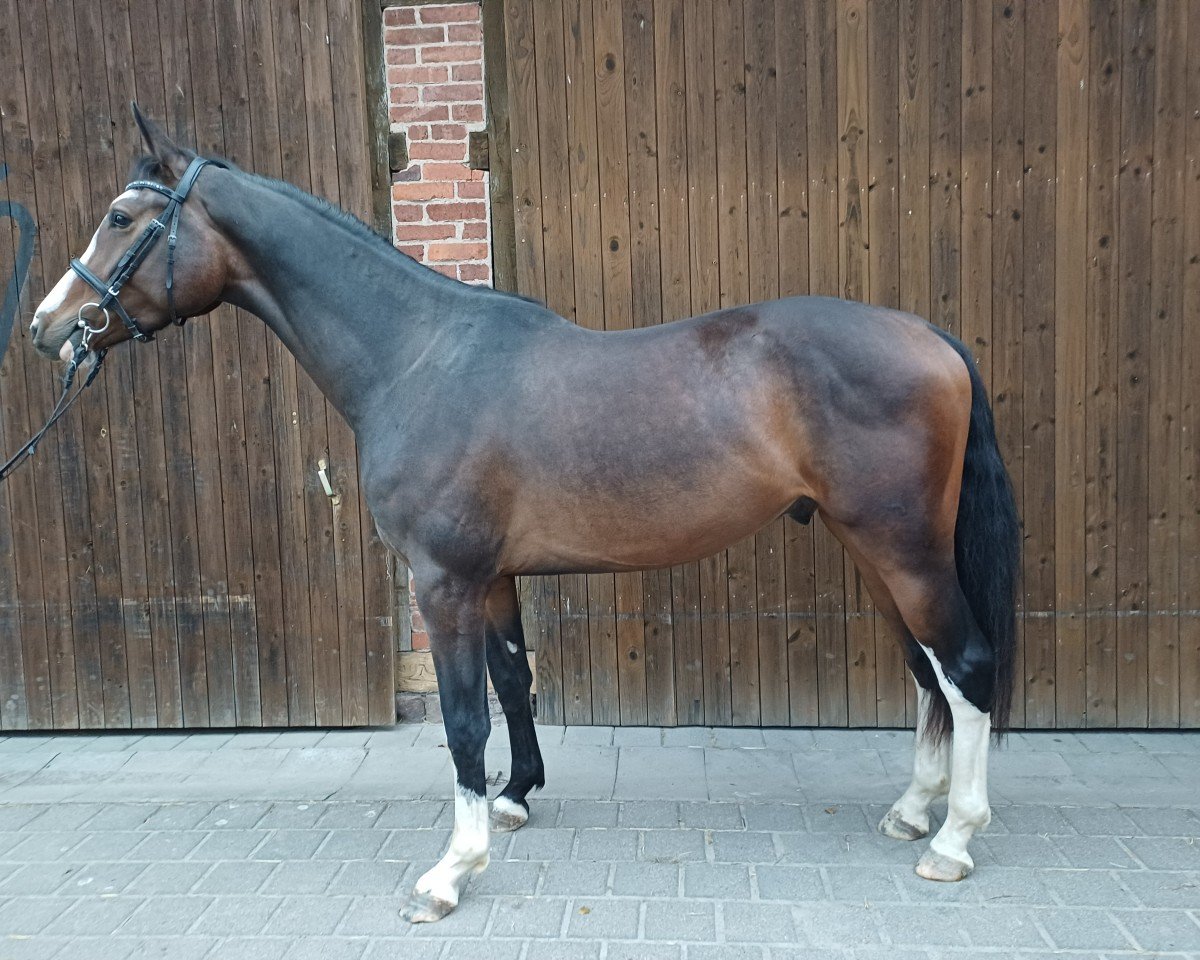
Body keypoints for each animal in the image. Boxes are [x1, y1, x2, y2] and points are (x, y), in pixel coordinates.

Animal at [29, 106, 1019, 923]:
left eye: (122, 218)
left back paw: (953, 840)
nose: (48, 326)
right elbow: (512, 684)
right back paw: (912, 812)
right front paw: (514, 798)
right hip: (876, 552)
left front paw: (449, 873)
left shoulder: (442, 583)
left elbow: (464, 718)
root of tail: (932, 338)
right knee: (928, 675)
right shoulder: (494, 578)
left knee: (965, 668)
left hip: (904, 550)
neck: (417, 357)